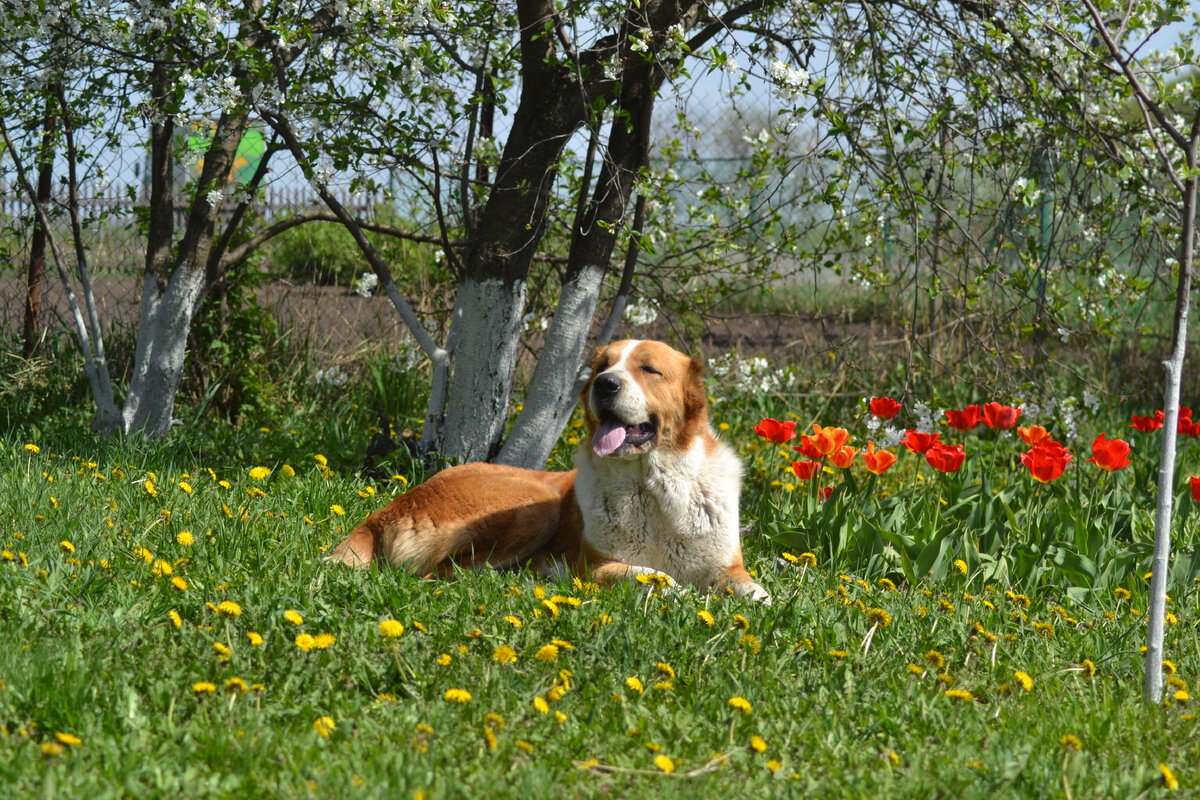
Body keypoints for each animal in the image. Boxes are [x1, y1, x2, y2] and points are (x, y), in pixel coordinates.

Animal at [328, 338, 772, 599]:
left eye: (649, 369)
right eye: (602, 367)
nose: (605, 384)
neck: (653, 486)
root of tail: (385, 511)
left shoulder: (728, 567)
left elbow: (755, 590)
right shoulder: (595, 567)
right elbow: (655, 576)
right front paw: (680, 593)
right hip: (538, 505)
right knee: (442, 574)